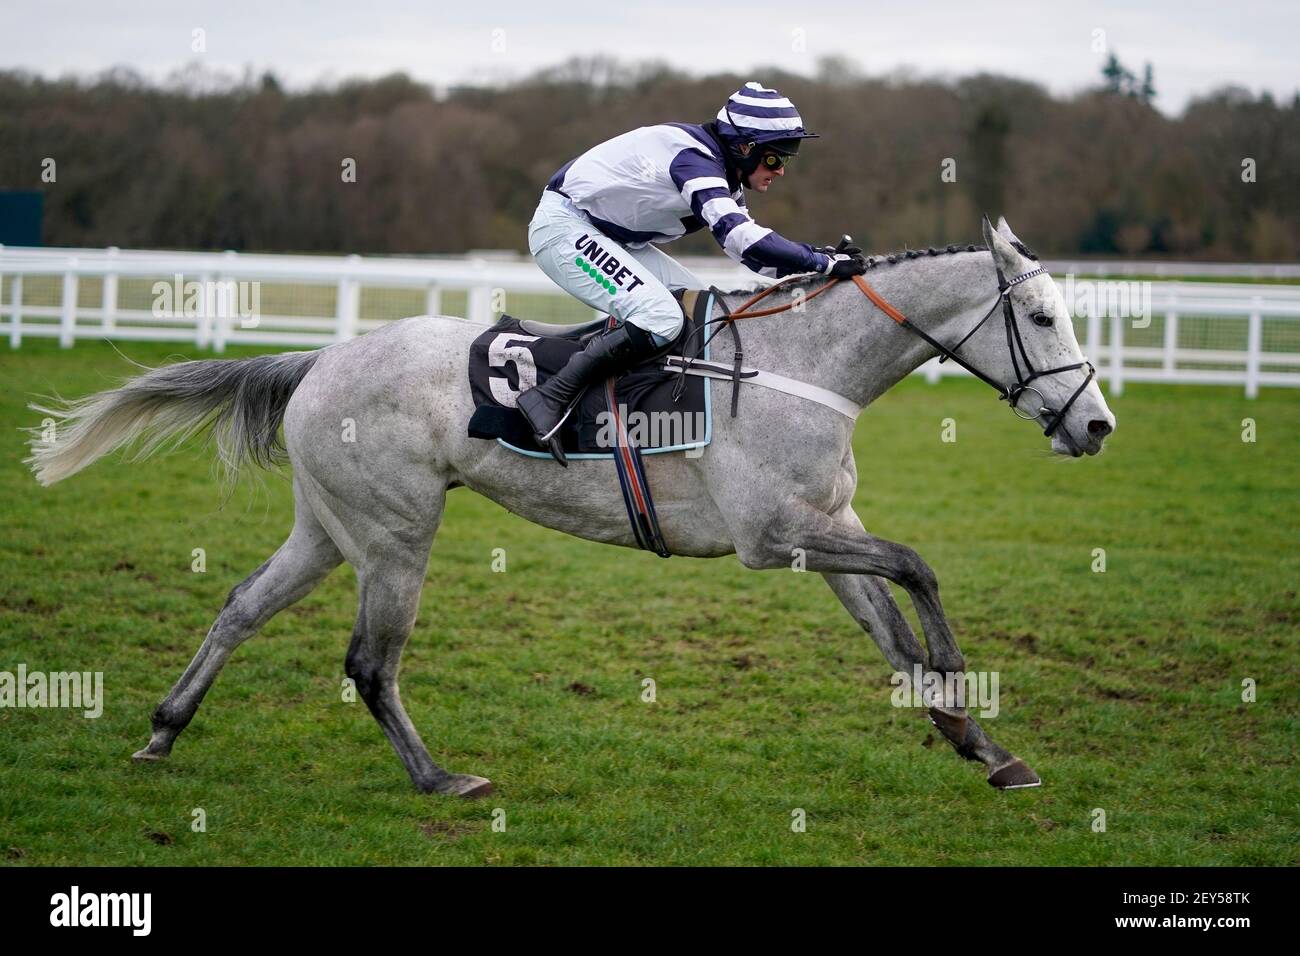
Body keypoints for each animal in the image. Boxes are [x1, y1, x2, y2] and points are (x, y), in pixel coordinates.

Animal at [26, 216, 1115, 796]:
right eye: (1042, 315)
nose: (1098, 425)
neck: (803, 364)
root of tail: (321, 358)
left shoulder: (825, 530)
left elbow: (891, 625)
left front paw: (981, 744)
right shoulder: (773, 537)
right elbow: (920, 568)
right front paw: (966, 696)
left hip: (329, 528)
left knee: (241, 607)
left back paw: (163, 730)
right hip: (394, 534)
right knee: (370, 662)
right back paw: (440, 778)